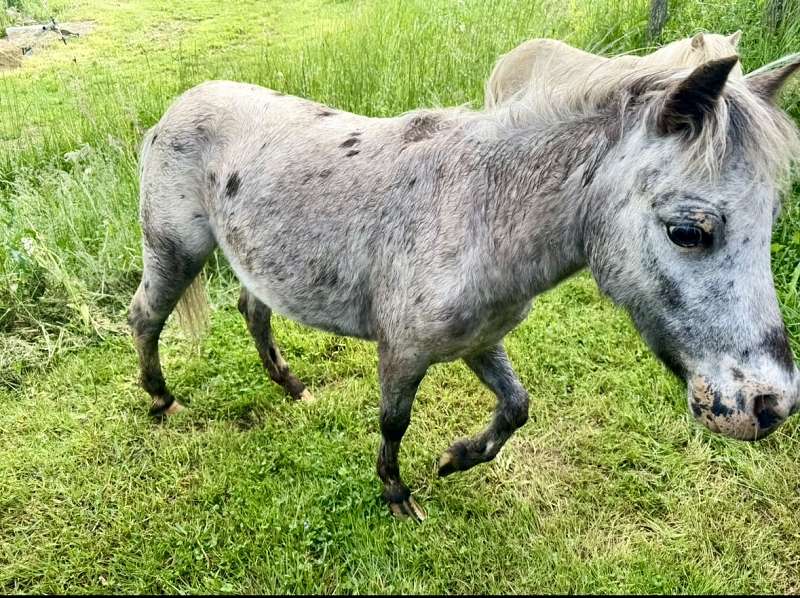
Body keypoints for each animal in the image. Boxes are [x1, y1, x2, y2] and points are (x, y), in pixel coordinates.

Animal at [129, 53, 800, 521]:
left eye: (772, 218)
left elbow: (517, 407)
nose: (770, 406)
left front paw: (455, 460)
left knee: (253, 309)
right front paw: (397, 493)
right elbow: (393, 421)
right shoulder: (402, 351)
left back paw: (292, 387)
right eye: (688, 231)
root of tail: (176, 109)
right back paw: (161, 400)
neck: (478, 211)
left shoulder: (480, 341)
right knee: (145, 317)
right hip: (175, 251)